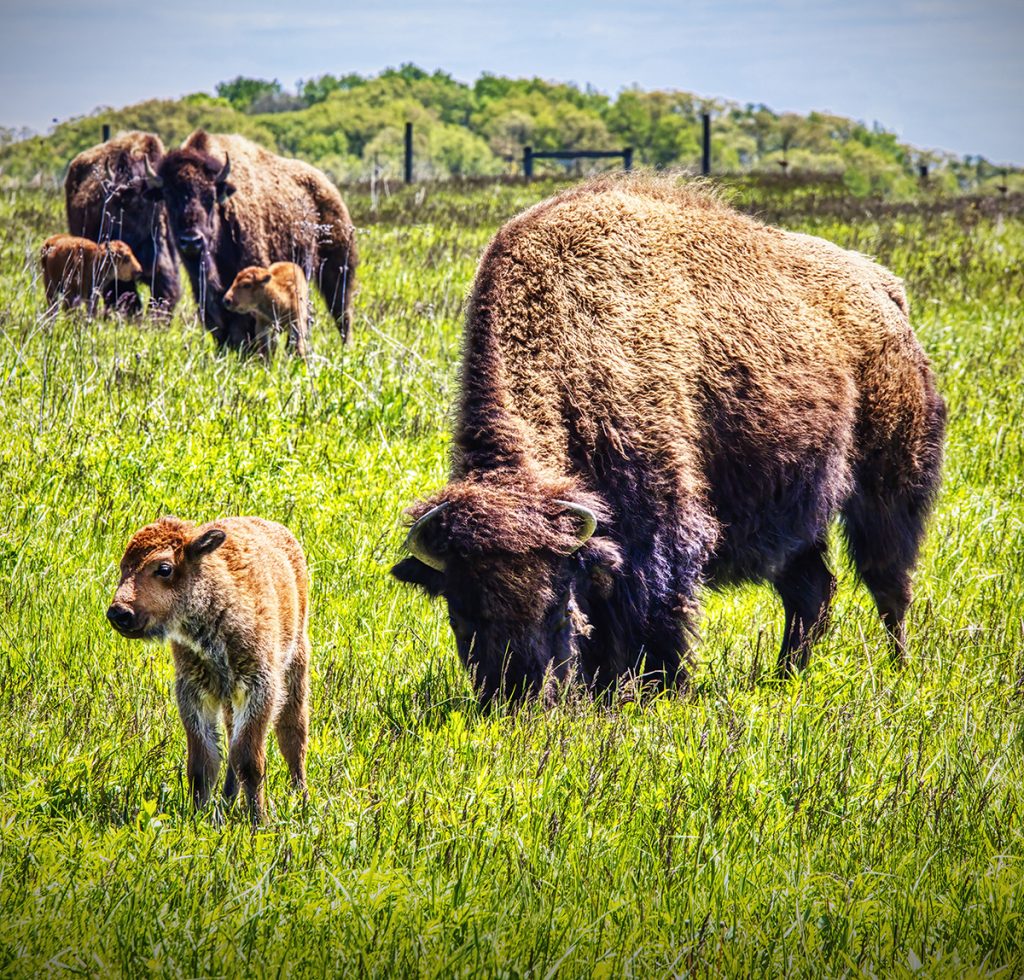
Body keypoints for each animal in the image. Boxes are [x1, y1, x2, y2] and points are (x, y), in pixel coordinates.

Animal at [145, 130, 357, 352]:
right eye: (168, 195)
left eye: (210, 196)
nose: (191, 241)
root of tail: (327, 186)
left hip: (338, 268)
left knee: (341, 312)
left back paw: (346, 348)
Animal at [392, 176, 946, 704]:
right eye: (460, 614)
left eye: (557, 606)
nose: (519, 698)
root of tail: (885, 291)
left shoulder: (658, 526)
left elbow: (656, 612)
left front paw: (658, 691)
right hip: (796, 515)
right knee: (812, 591)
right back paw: (785, 676)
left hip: (887, 484)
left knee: (888, 581)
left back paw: (899, 669)